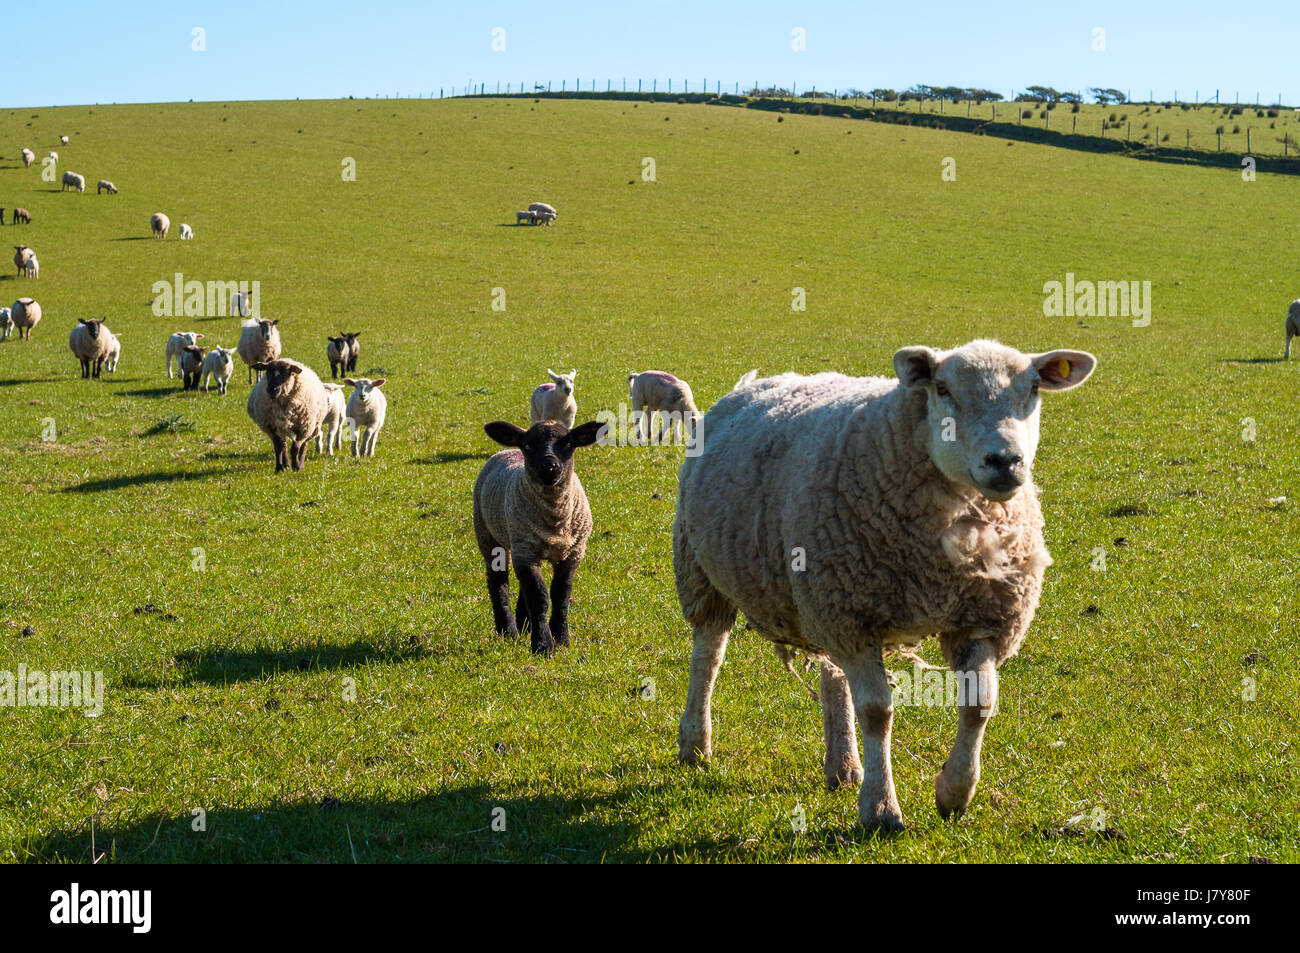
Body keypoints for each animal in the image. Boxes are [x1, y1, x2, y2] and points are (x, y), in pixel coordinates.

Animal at [472, 419, 604, 654]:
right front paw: (543, 645)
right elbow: (539, 595)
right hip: (488, 535)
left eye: (568, 444)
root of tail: (507, 450)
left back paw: (524, 624)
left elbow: (560, 594)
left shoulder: (573, 554)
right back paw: (508, 631)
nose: (549, 466)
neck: (555, 520)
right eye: (528, 445)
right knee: (498, 582)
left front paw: (561, 638)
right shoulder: (525, 550)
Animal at [672, 340, 1096, 831]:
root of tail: (755, 383)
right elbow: (877, 712)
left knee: (832, 676)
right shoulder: (854, 618)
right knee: (707, 658)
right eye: (942, 388)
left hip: (822, 597)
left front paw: (954, 792)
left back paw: (843, 767)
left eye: (1033, 388)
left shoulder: (982, 619)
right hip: (702, 570)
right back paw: (695, 745)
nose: (1005, 461)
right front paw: (880, 809)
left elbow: (979, 704)